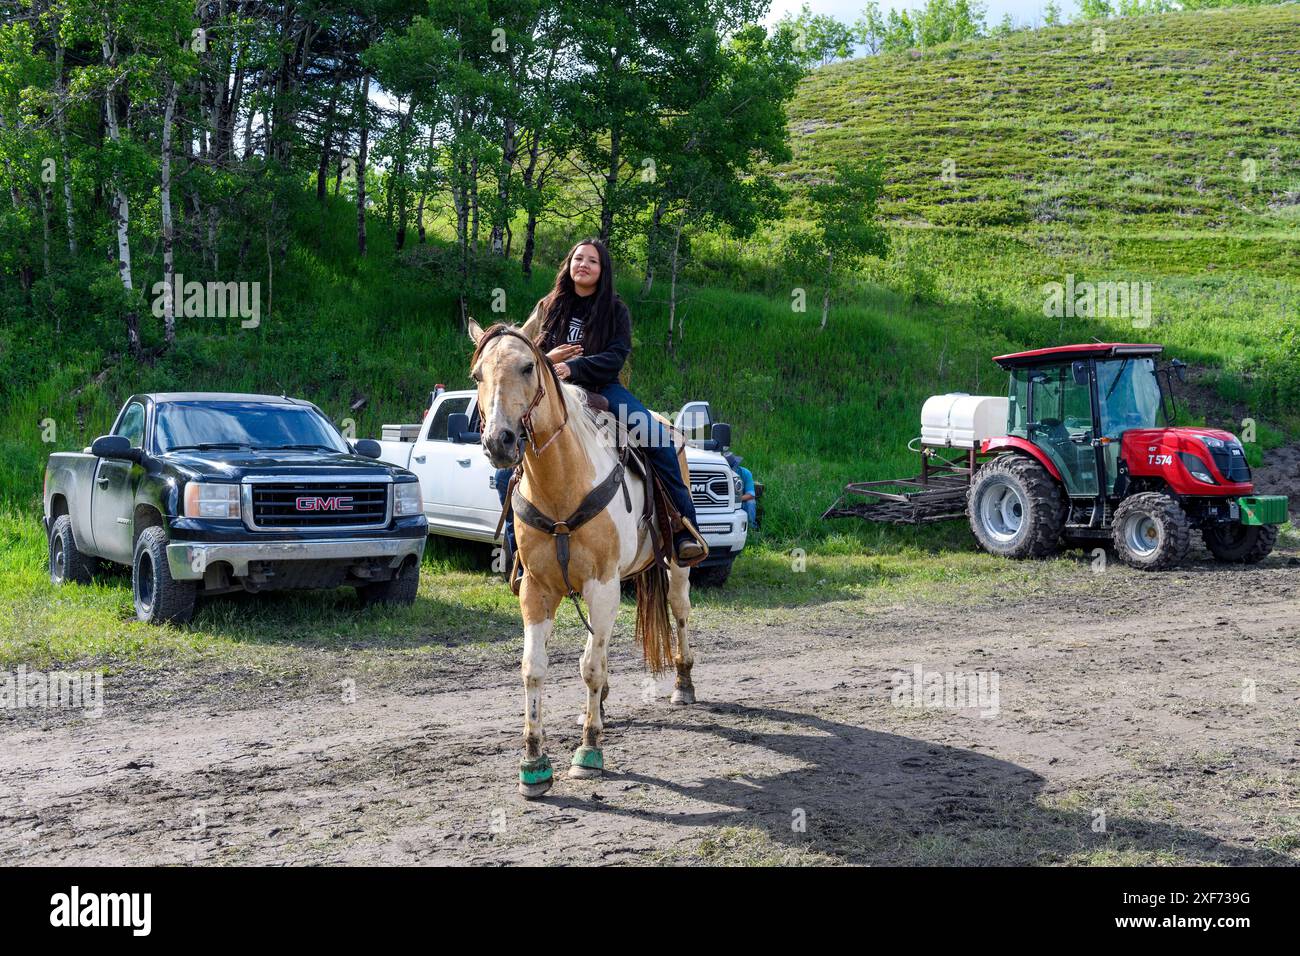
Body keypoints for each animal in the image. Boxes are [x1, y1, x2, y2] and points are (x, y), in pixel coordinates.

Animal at [468, 318, 697, 799]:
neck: (561, 483)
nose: (499, 441)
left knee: (680, 612)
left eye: (527, 367)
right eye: (477, 375)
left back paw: (683, 684)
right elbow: (535, 669)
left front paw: (589, 751)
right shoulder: (537, 590)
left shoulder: (602, 586)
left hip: (675, 565)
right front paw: (534, 764)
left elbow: (589, 666)